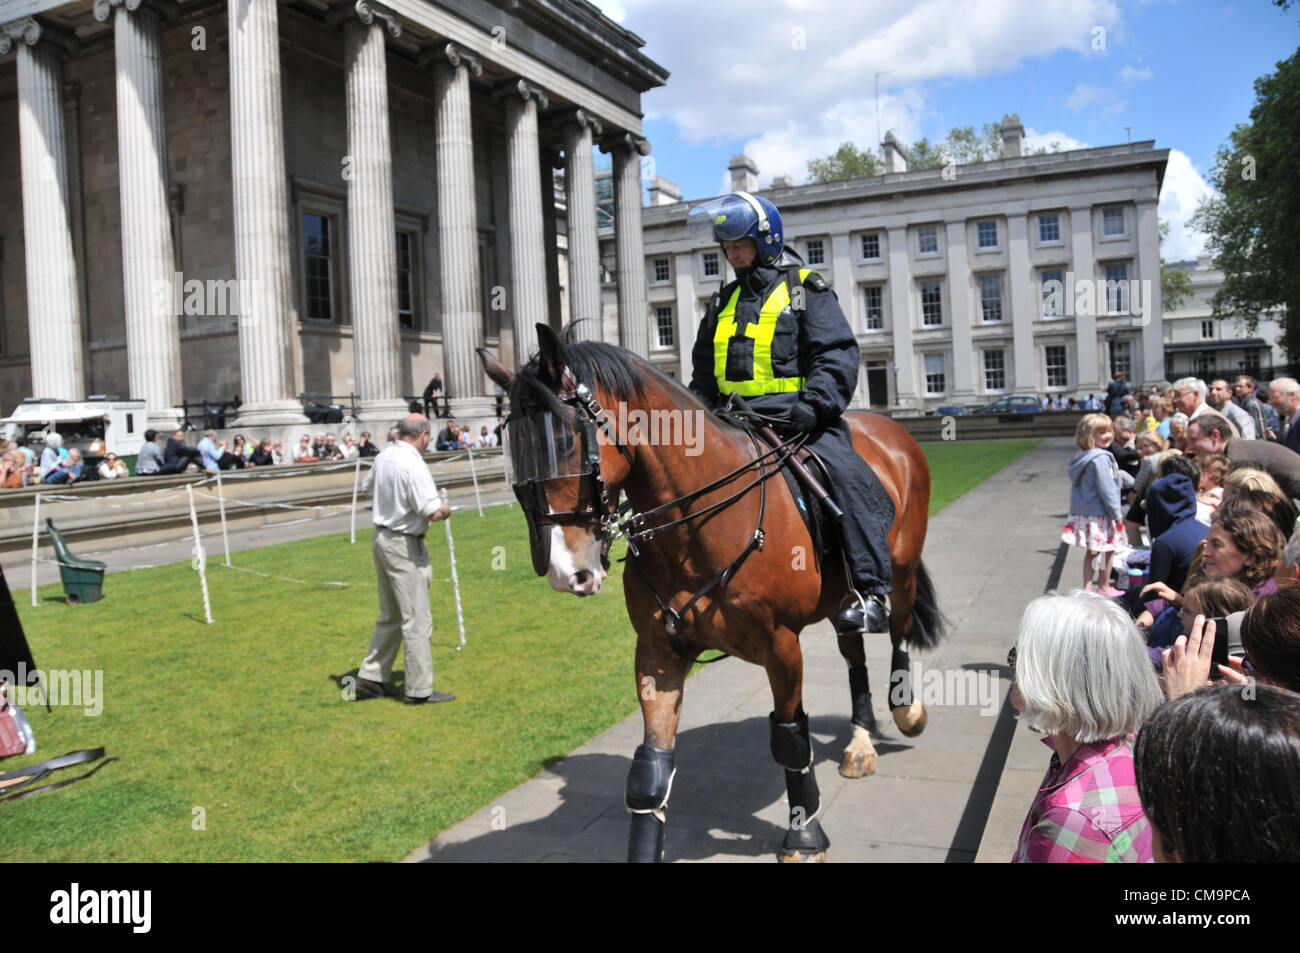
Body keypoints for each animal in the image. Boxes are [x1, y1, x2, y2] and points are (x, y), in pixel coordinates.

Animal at [478, 324, 945, 862]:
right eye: (513, 448)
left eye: (565, 438)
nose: (563, 569)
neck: (696, 528)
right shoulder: (658, 651)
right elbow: (649, 772)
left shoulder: (782, 647)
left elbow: (791, 738)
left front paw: (804, 834)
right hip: (838, 600)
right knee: (854, 653)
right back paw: (861, 741)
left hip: (902, 569)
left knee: (899, 629)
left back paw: (906, 712)